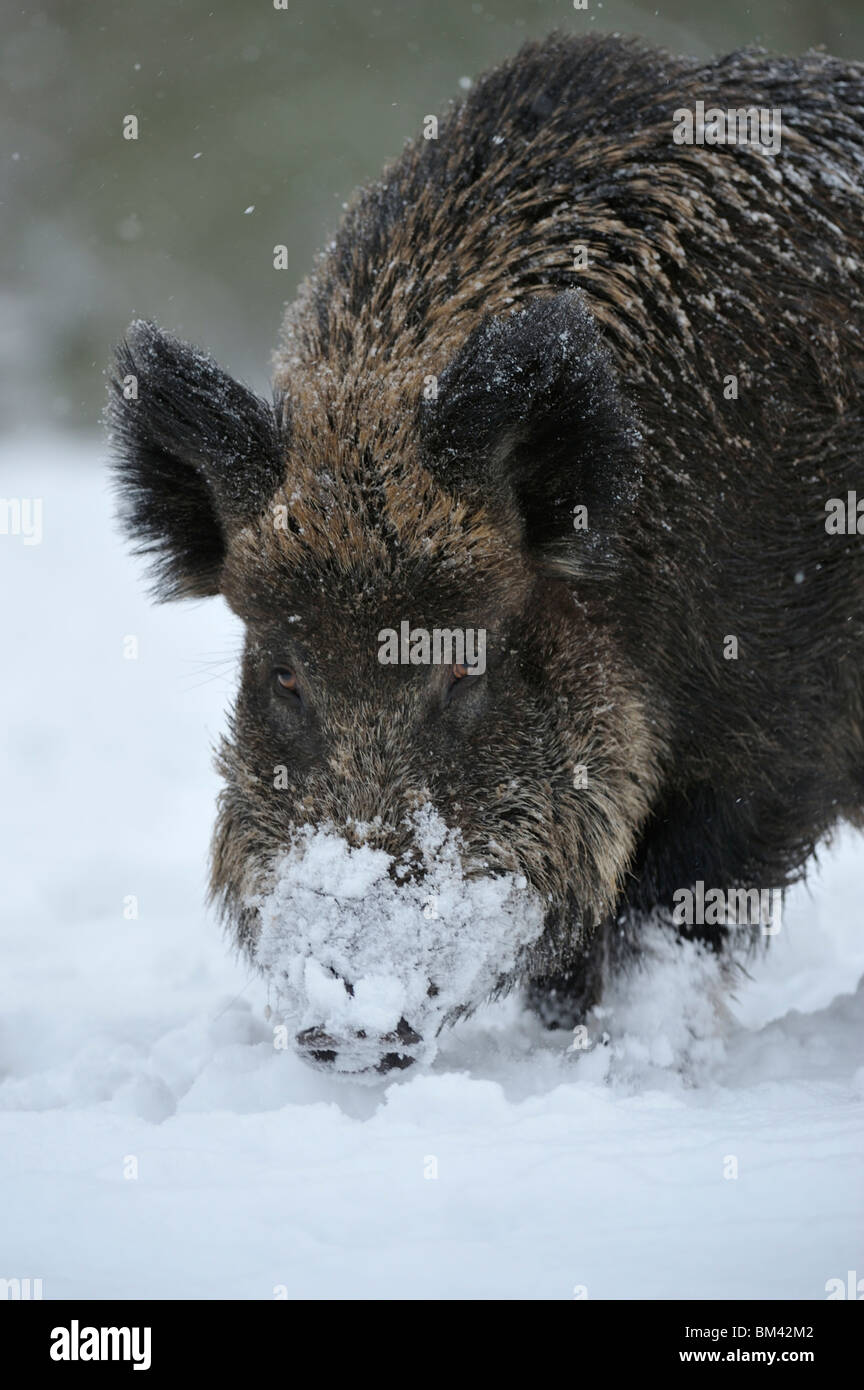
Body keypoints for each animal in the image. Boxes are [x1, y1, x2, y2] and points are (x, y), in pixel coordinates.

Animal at [109, 33, 864, 1075]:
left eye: (464, 667)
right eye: (285, 673)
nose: (350, 1023)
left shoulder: (777, 745)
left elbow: (664, 926)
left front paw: (637, 1065)